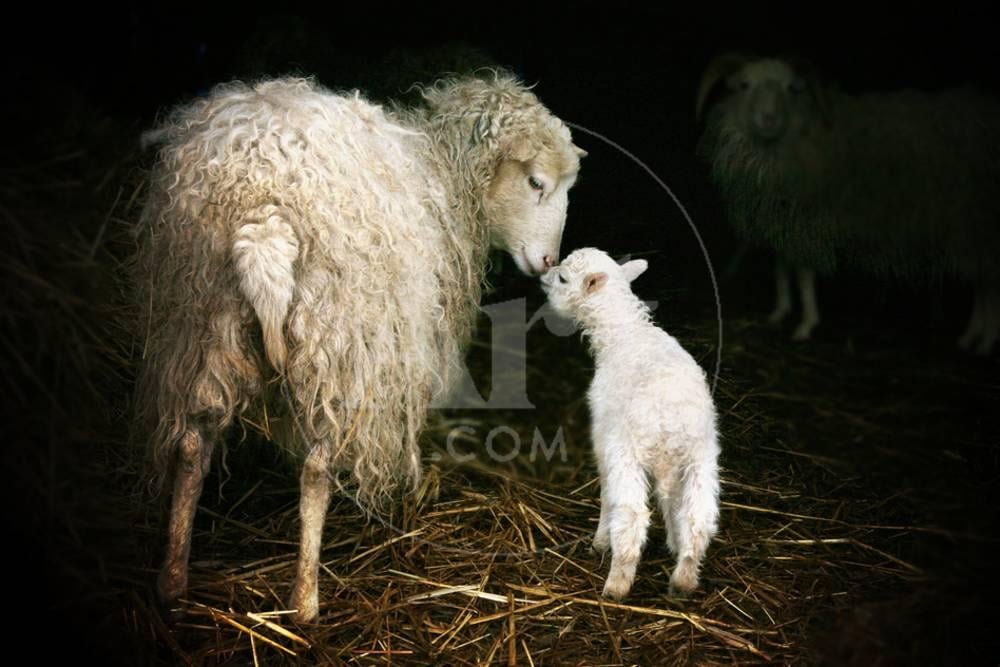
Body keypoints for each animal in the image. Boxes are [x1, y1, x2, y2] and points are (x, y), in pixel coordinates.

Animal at [133, 72, 586, 622]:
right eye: (537, 183)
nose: (550, 264)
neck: (443, 170)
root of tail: (262, 206)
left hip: (200, 320)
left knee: (192, 444)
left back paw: (172, 581)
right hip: (340, 337)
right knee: (316, 467)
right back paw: (305, 601)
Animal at [541, 248, 720, 599]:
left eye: (563, 278)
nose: (544, 275)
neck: (623, 332)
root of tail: (670, 423)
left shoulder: (604, 438)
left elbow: (606, 495)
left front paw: (599, 543)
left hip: (629, 450)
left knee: (632, 515)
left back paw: (617, 583)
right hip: (700, 456)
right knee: (698, 515)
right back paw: (684, 578)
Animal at [696, 54, 1000, 352]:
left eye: (791, 88)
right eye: (744, 85)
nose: (769, 119)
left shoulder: (808, 218)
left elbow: (804, 274)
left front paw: (806, 324)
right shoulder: (782, 216)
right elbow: (782, 267)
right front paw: (779, 312)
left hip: (975, 221)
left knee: (988, 281)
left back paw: (984, 341)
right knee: (984, 282)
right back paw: (971, 337)